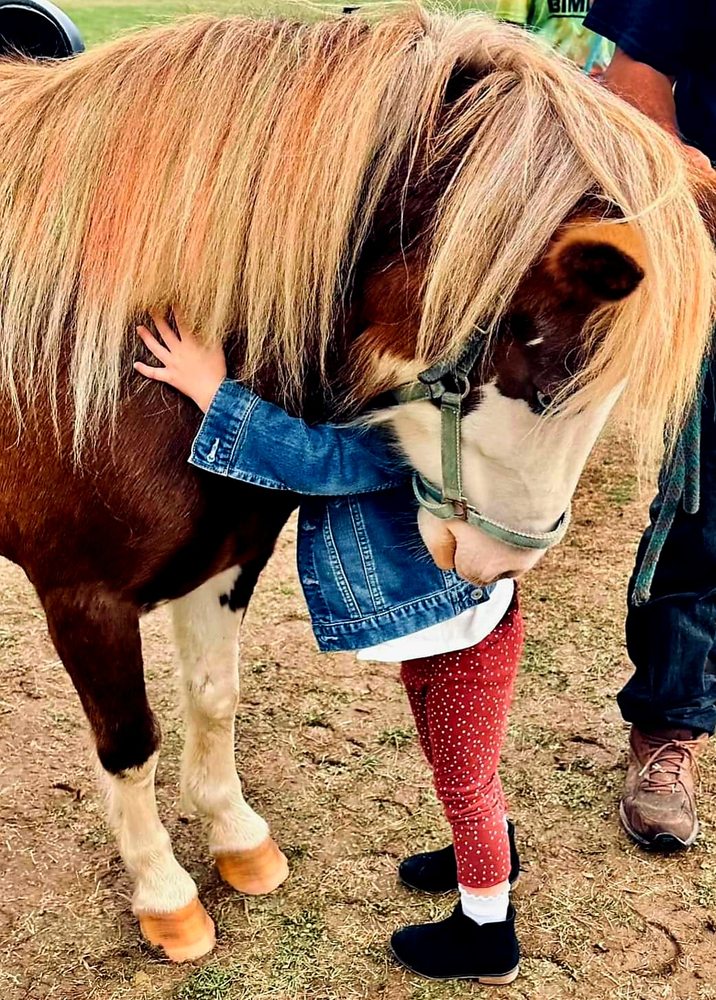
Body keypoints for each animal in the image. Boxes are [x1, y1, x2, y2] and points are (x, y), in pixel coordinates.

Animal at [0, 4, 714, 963]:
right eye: (533, 341)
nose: (499, 561)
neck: (121, 353)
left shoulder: (227, 561)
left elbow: (215, 700)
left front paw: (237, 839)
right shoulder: (85, 598)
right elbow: (130, 745)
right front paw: (164, 893)